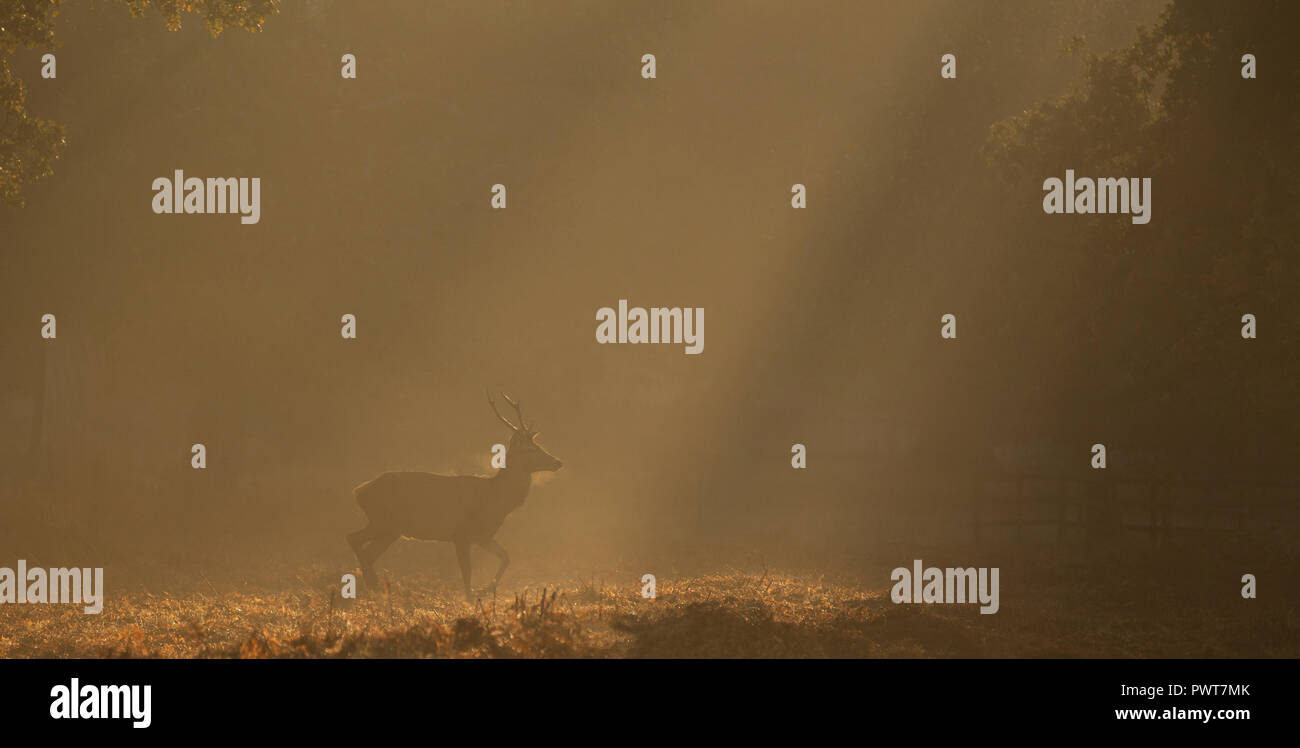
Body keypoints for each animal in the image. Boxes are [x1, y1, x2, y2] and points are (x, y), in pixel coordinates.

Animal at [347, 393, 562, 602]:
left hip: (389, 529)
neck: (494, 499)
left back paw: (371, 585)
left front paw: (486, 589)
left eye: (538, 445)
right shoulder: (461, 534)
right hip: (385, 522)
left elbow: (506, 557)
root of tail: (359, 491)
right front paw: (470, 598)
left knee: (364, 549)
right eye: (531, 449)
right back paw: (370, 583)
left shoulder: (483, 536)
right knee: (355, 539)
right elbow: (467, 572)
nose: (557, 462)